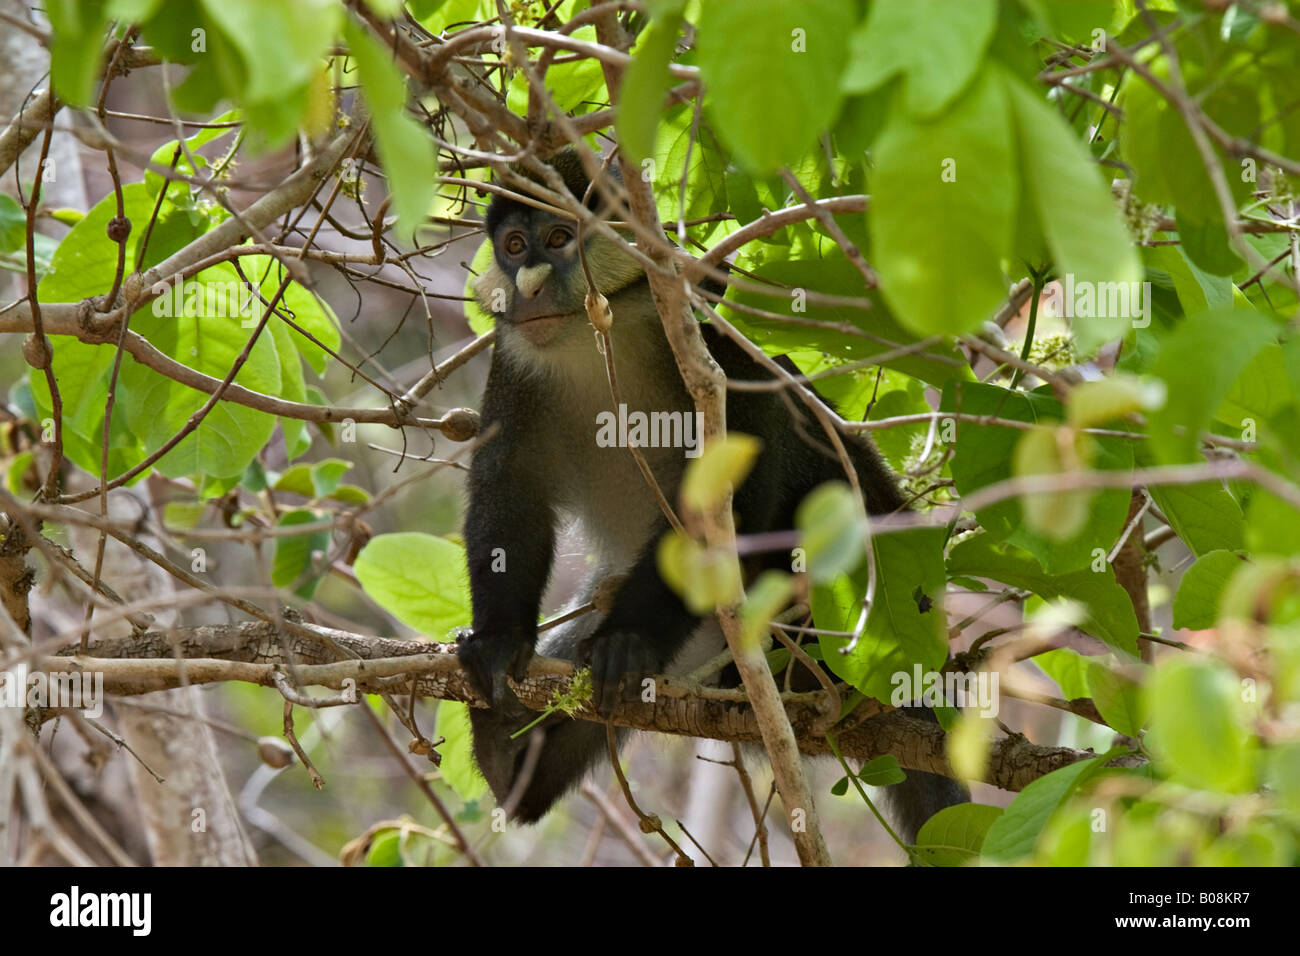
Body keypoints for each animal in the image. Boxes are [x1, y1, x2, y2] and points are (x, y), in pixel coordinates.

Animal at [455, 148, 967, 844]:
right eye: (513, 247)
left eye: (559, 239)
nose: (528, 285)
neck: (598, 341)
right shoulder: (514, 370)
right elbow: (509, 495)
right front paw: (499, 641)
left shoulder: (711, 345)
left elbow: (745, 474)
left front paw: (629, 643)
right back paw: (505, 759)